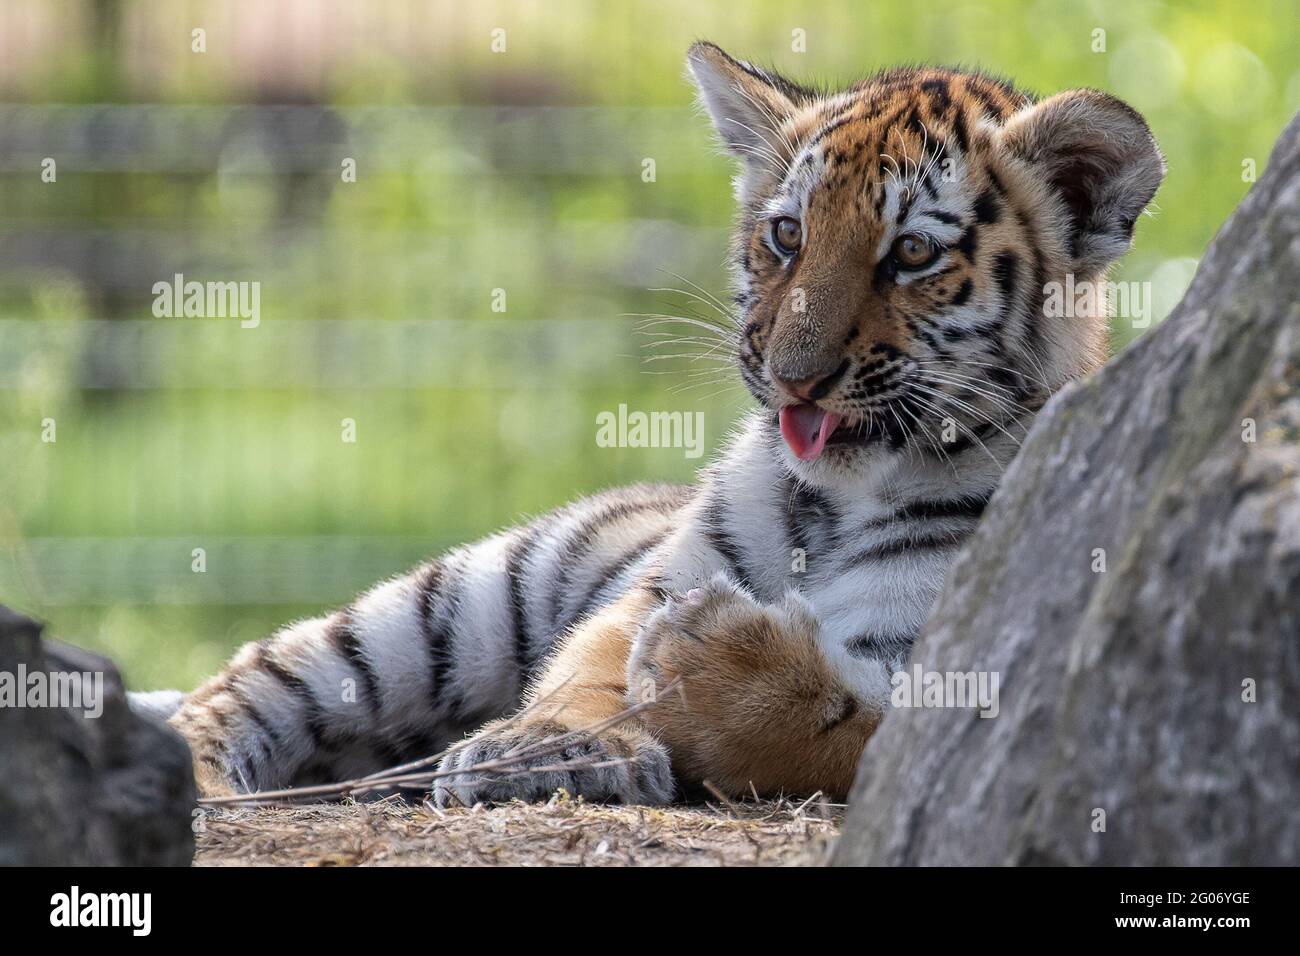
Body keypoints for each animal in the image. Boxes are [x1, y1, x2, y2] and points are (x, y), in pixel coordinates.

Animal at [152, 42, 1164, 805]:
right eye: (788, 235)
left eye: (912, 252)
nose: (792, 375)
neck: (837, 506)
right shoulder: (655, 579)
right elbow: (590, 665)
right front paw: (552, 750)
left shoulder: (949, 660)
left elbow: (842, 727)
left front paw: (716, 659)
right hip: (451, 606)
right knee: (242, 684)